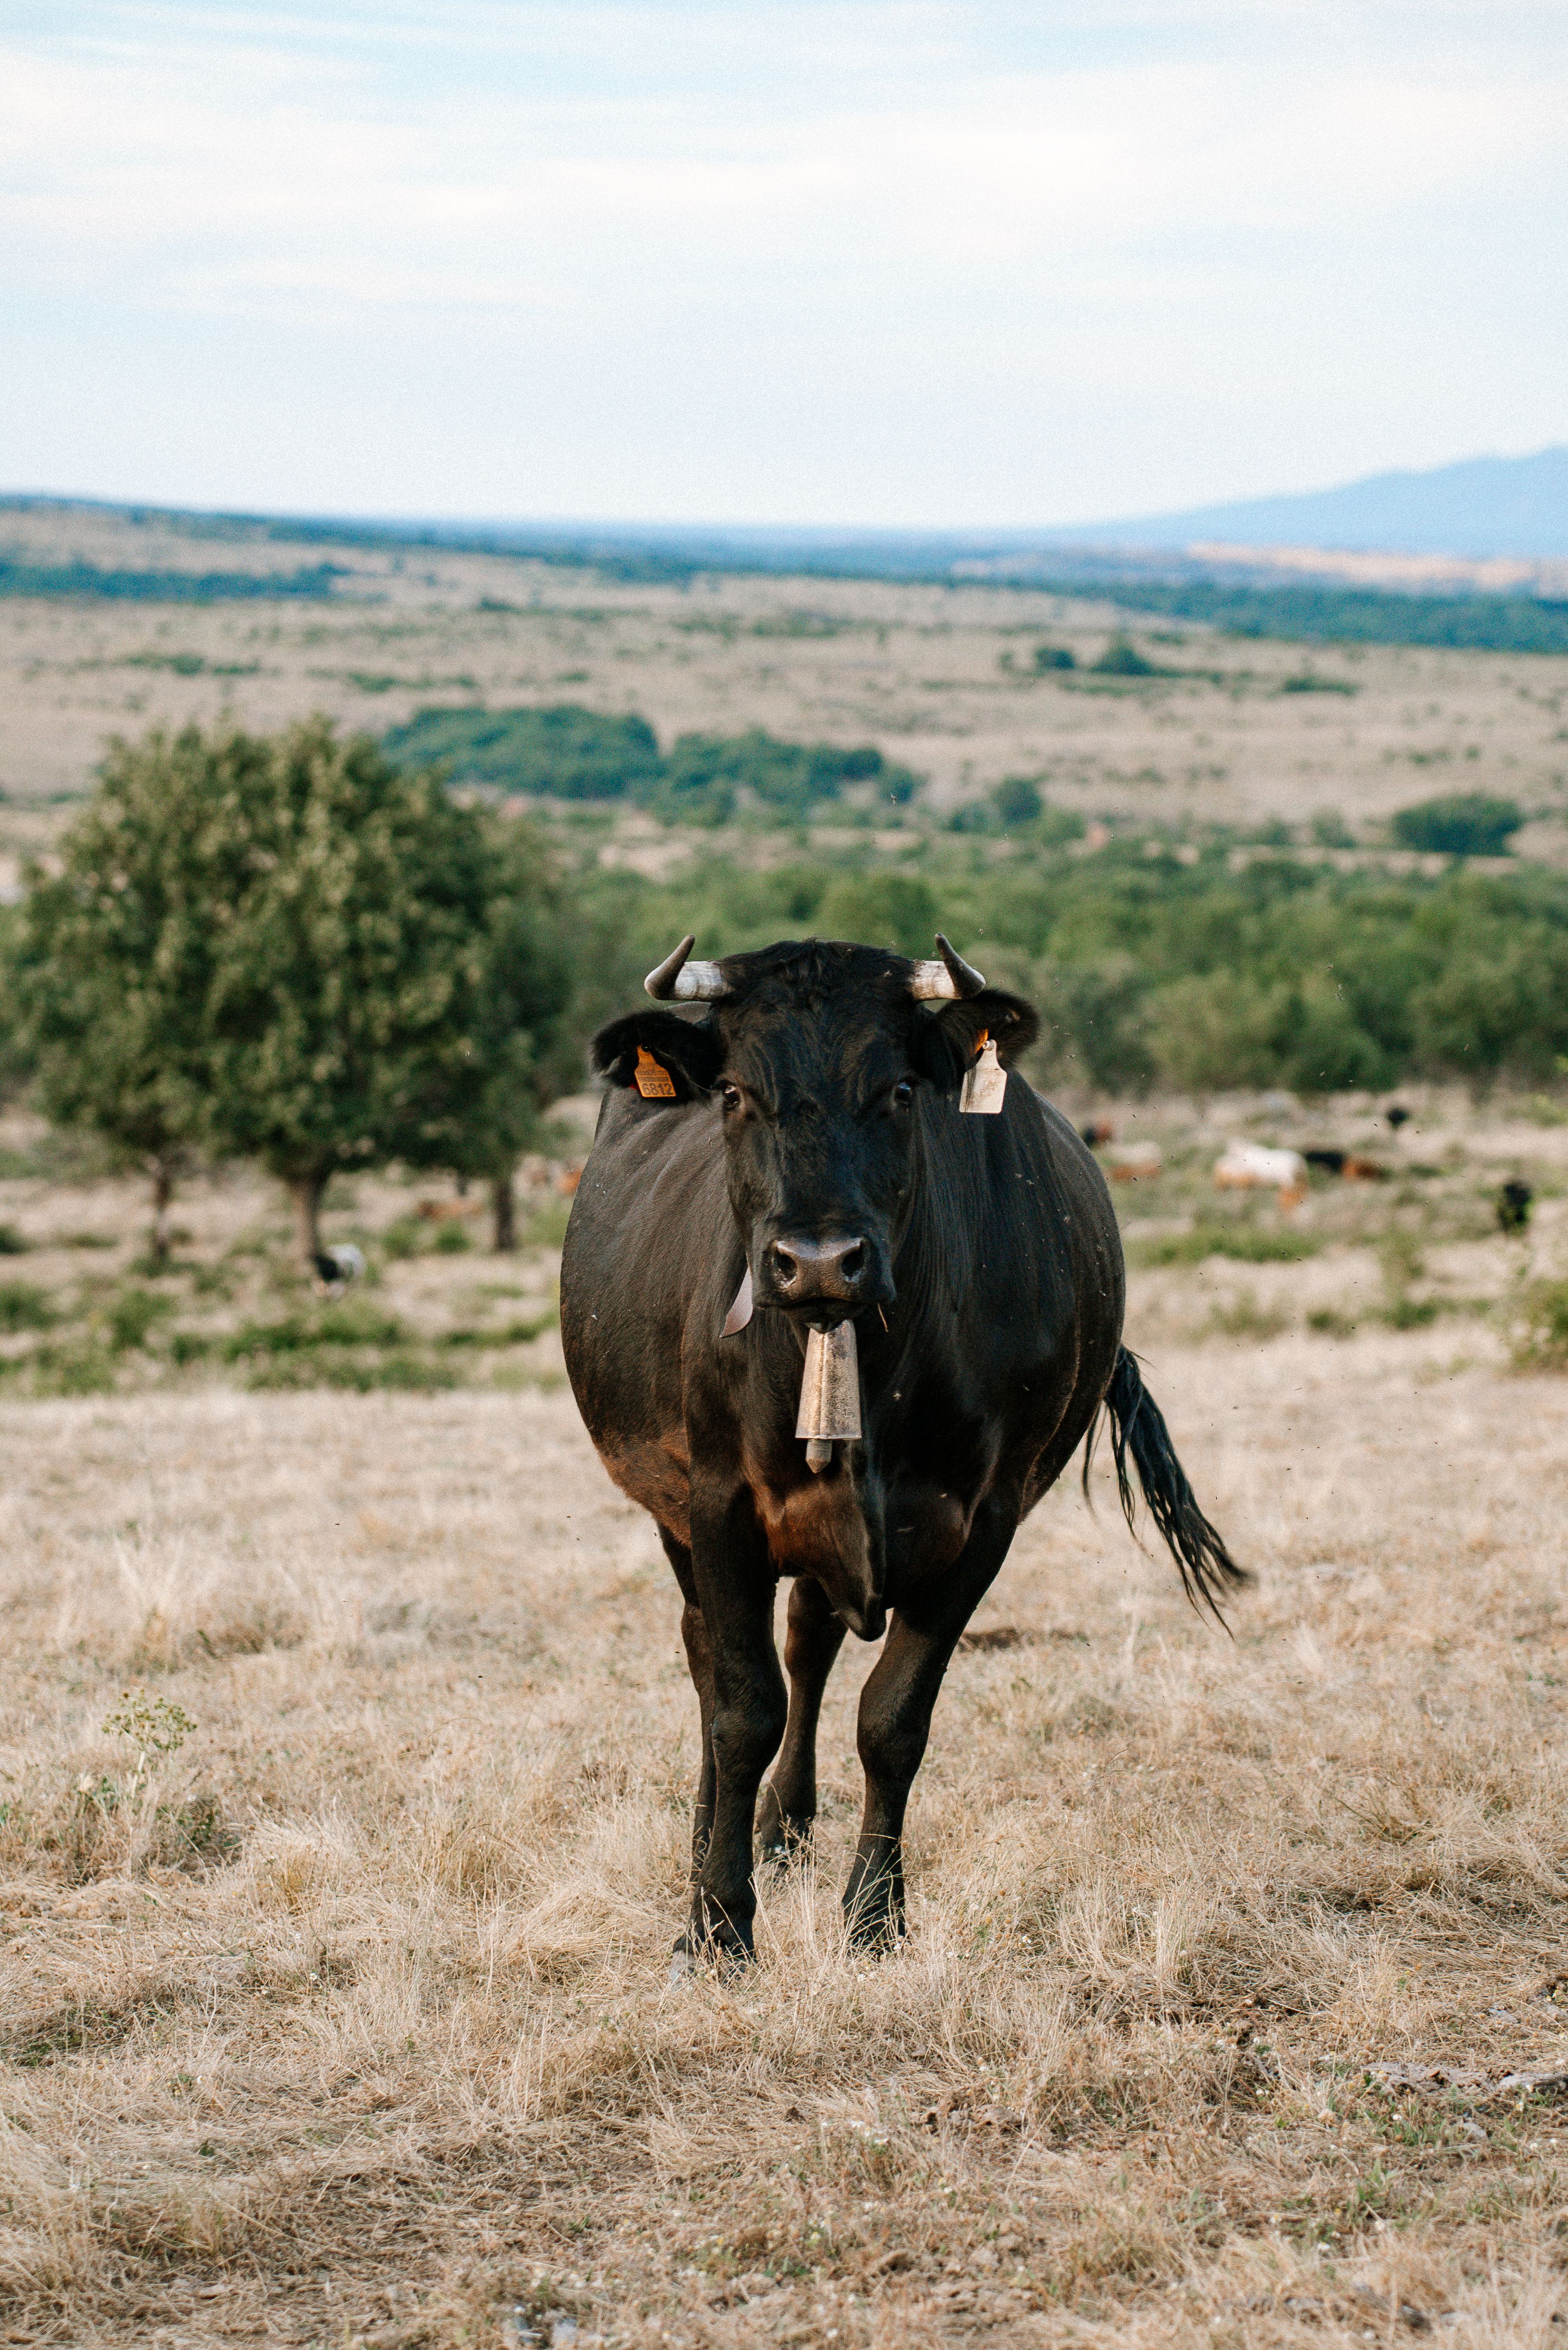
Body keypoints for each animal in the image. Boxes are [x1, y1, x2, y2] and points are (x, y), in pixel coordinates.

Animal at [560, 934, 1243, 1970]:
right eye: (735, 1094)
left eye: (897, 1091)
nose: (816, 1260)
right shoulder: (717, 1503)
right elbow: (740, 1705)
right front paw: (716, 1922)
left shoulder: (983, 1518)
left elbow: (892, 1717)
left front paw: (875, 1912)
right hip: (674, 1512)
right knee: (710, 1659)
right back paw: (713, 1836)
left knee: (806, 1643)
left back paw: (782, 1824)